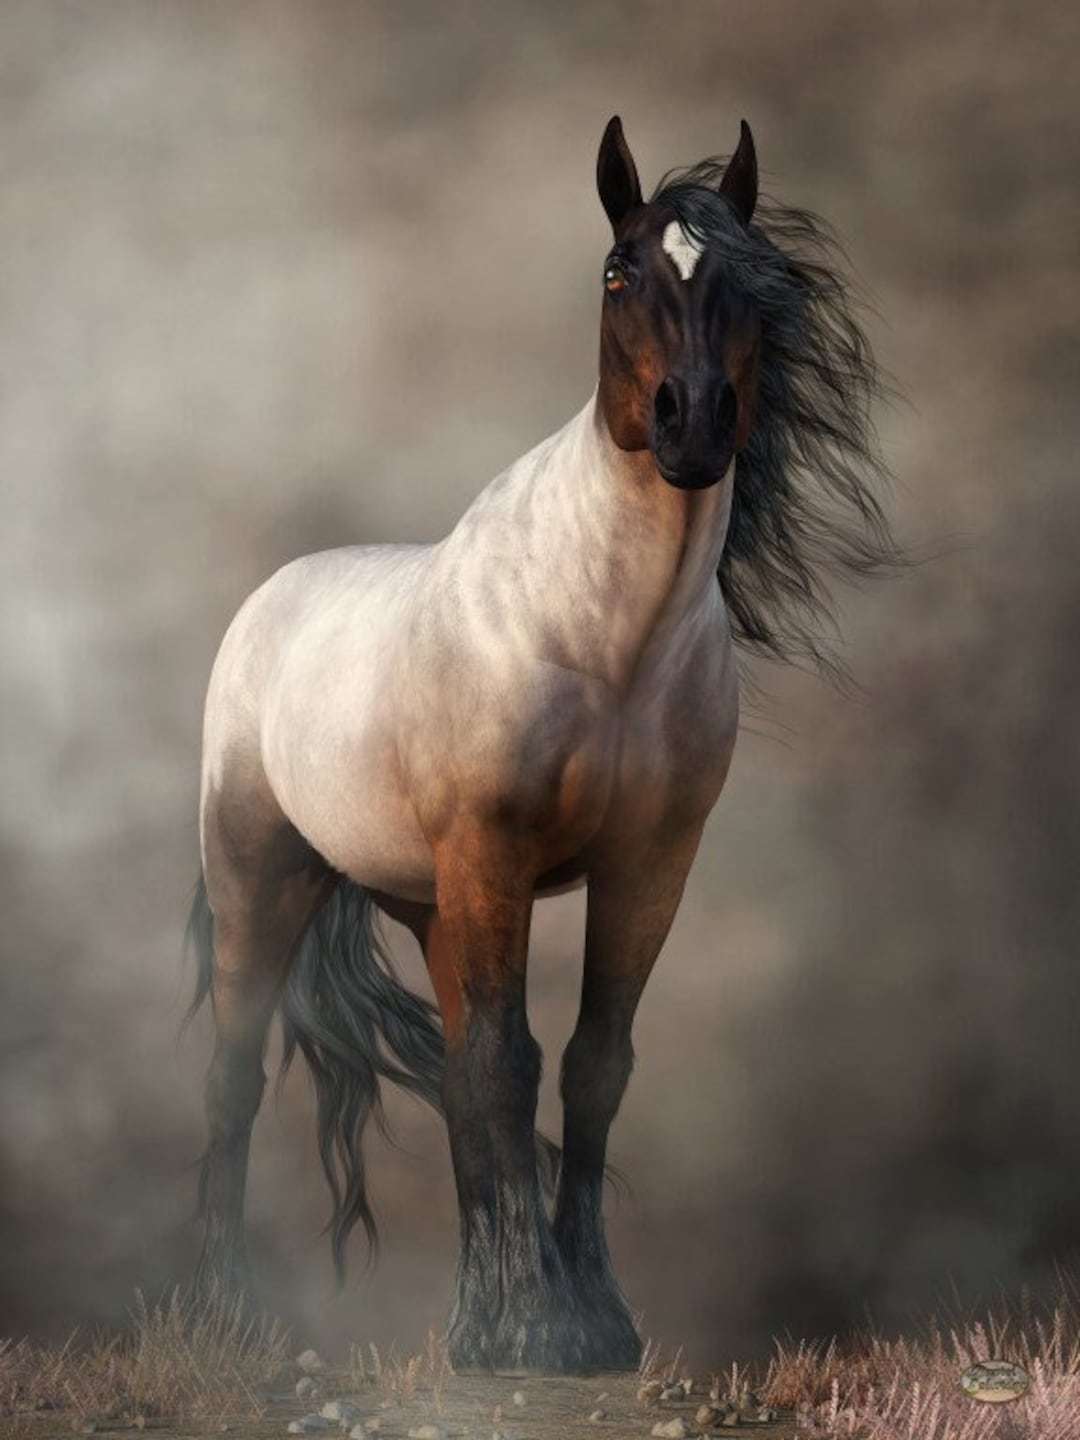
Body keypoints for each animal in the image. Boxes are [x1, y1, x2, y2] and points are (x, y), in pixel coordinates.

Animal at [185, 115, 898, 1375]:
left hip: (429, 905)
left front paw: (583, 1318)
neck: (604, 639)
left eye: (757, 284)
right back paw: (232, 1316)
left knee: (455, 1071)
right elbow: (508, 1064)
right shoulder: (495, 853)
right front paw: (532, 1328)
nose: (691, 425)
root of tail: (266, 606)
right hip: (263, 879)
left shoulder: (648, 865)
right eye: (618, 272)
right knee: (236, 1083)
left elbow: (584, 1065)